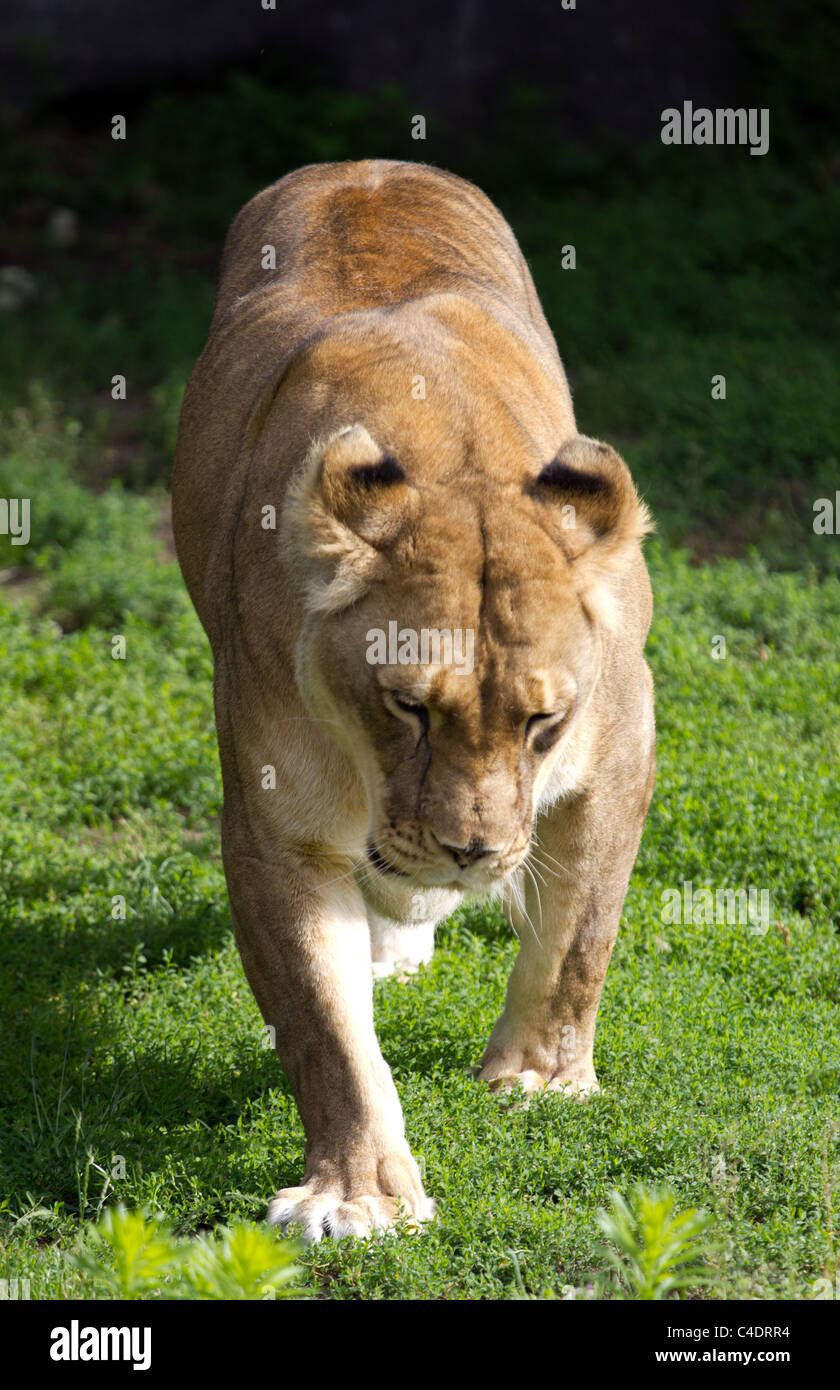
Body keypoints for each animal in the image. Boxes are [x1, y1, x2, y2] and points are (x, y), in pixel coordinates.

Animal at [172, 159, 656, 1243]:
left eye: (542, 722)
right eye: (408, 708)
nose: (471, 850)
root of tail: (363, 165)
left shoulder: (621, 745)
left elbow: (579, 935)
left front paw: (539, 1082)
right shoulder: (273, 819)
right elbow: (323, 1025)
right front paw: (357, 1194)